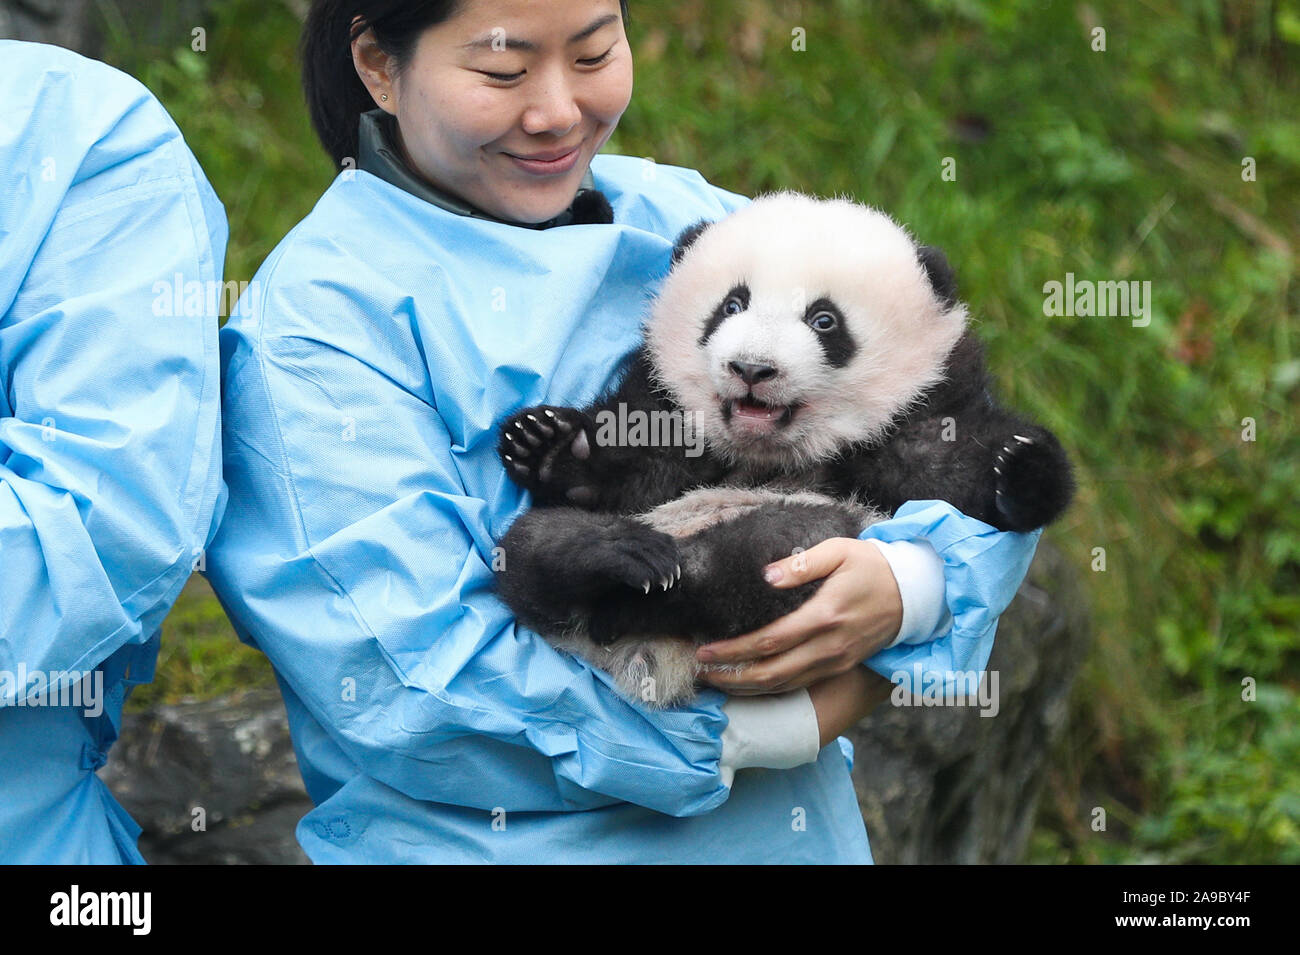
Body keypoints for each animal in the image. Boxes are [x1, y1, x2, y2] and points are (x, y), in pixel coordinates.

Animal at [494, 192, 1074, 707]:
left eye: (824, 320)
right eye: (731, 305)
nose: (751, 368)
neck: (771, 454)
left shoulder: (921, 405)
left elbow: (953, 470)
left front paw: (1023, 470)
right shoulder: (666, 404)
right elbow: (639, 462)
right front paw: (549, 445)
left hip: (819, 553)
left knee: (776, 549)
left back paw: (646, 592)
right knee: (531, 548)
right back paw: (616, 555)